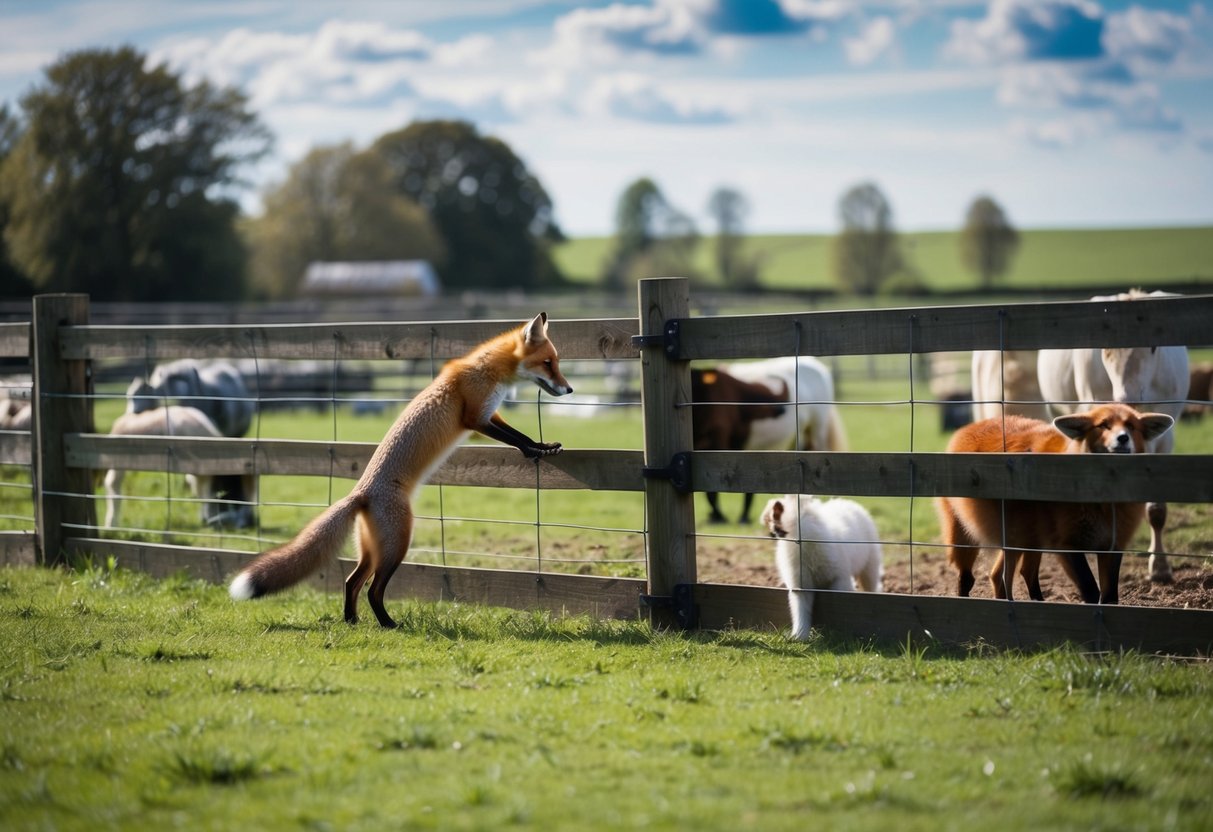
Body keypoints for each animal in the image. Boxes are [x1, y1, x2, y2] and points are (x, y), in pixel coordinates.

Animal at [229, 312, 573, 627]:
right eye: (548, 363)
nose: (568, 390)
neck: (488, 372)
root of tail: (361, 493)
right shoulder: (476, 418)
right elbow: (517, 440)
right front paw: (535, 451)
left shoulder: (491, 414)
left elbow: (519, 434)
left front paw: (544, 446)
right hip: (397, 545)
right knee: (373, 590)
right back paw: (388, 624)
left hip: (373, 551)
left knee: (351, 582)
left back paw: (352, 621)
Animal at [936, 403, 1174, 606]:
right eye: (1103, 425)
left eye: (1131, 426)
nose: (1123, 438)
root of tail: (968, 428)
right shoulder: (1067, 546)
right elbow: (1091, 591)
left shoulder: (1111, 546)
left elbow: (1109, 598)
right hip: (972, 538)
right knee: (971, 578)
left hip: (1024, 538)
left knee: (1006, 575)